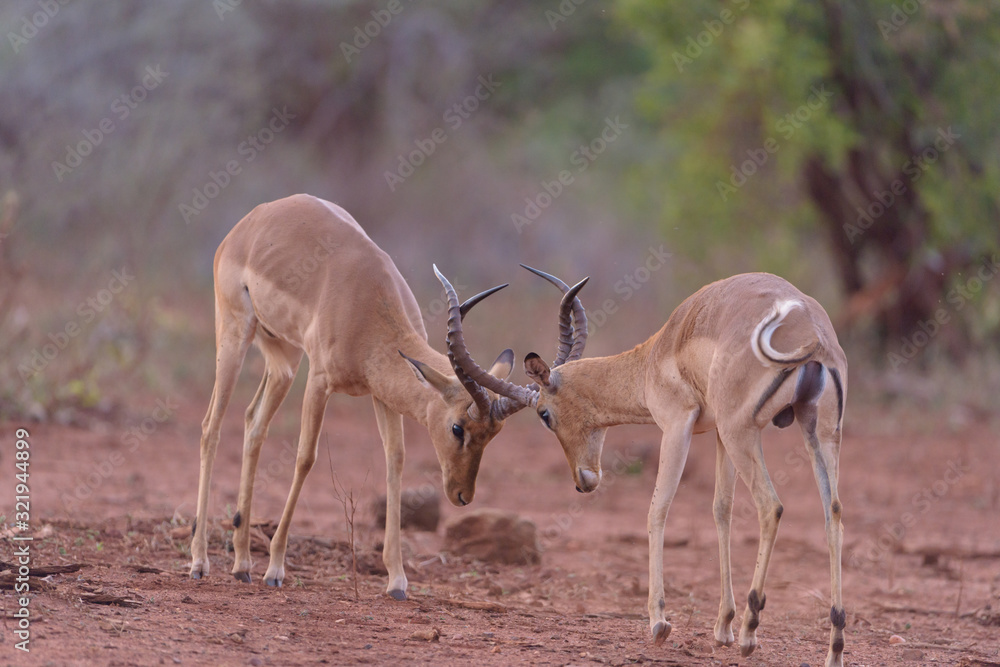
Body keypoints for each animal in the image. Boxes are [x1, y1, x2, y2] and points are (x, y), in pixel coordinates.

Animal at [189, 193, 531, 600]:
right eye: (457, 428)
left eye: (493, 435)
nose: (463, 495)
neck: (367, 297)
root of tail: (249, 222)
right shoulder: (319, 381)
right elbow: (305, 457)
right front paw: (275, 568)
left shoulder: (382, 395)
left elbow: (395, 460)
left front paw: (397, 580)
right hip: (235, 332)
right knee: (210, 427)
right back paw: (200, 563)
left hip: (283, 358)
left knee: (253, 422)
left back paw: (241, 563)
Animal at [452, 268, 849, 667]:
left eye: (544, 414)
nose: (584, 482)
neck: (658, 354)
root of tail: (809, 332)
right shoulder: (719, 434)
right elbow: (721, 510)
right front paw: (722, 627)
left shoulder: (677, 425)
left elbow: (657, 509)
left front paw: (659, 622)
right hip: (816, 432)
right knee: (832, 514)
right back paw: (834, 647)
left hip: (746, 432)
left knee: (771, 507)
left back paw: (750, 632)